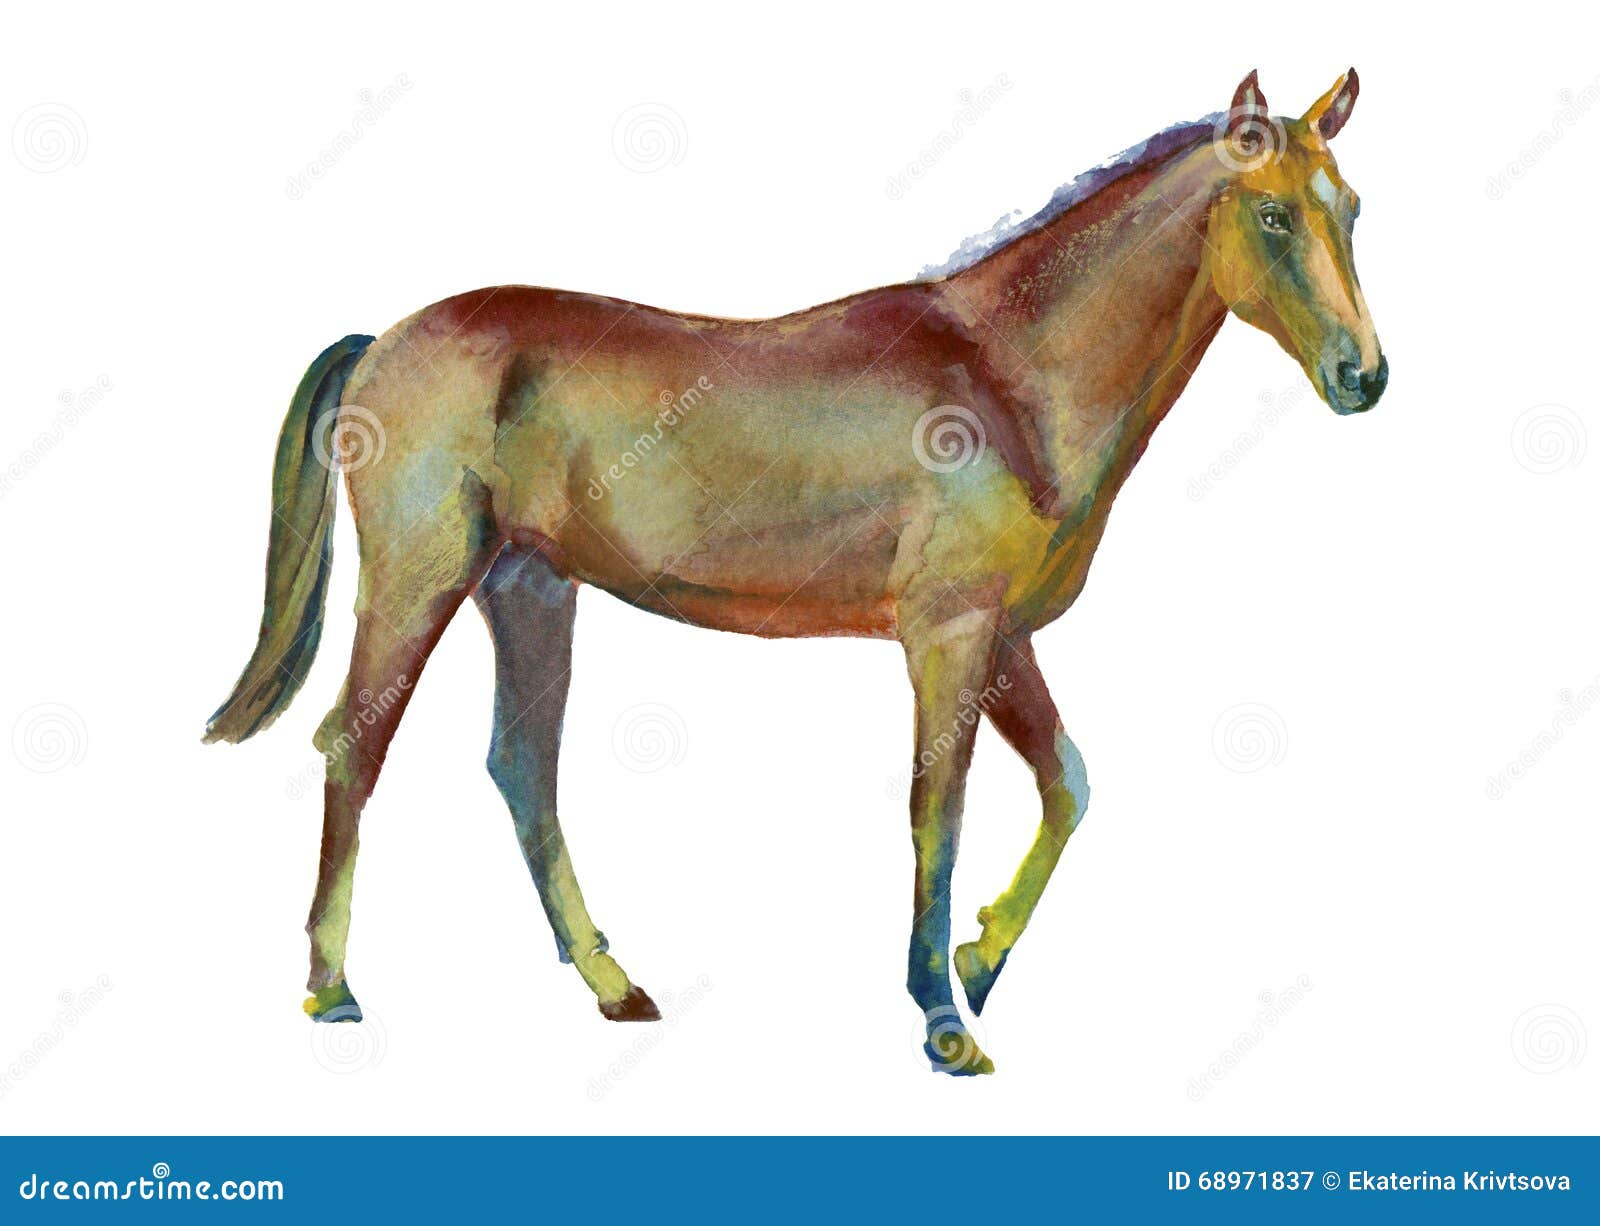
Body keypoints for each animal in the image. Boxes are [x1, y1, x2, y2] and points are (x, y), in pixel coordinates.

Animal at [205, 70, 1385, 1074]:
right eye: (1272, 215)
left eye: (1353, 208)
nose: (1362, 377)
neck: (1005, 374)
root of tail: (381, 340)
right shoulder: (948, 632)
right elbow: (937, 807)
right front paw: (942, 1019)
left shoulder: (1003, 635)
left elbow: (1068, 785)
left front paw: (980, 961)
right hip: (423, 578)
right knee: (353, 745)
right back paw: (332, 989)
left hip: (530, 588)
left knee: (521, 769)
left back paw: (613, 985)